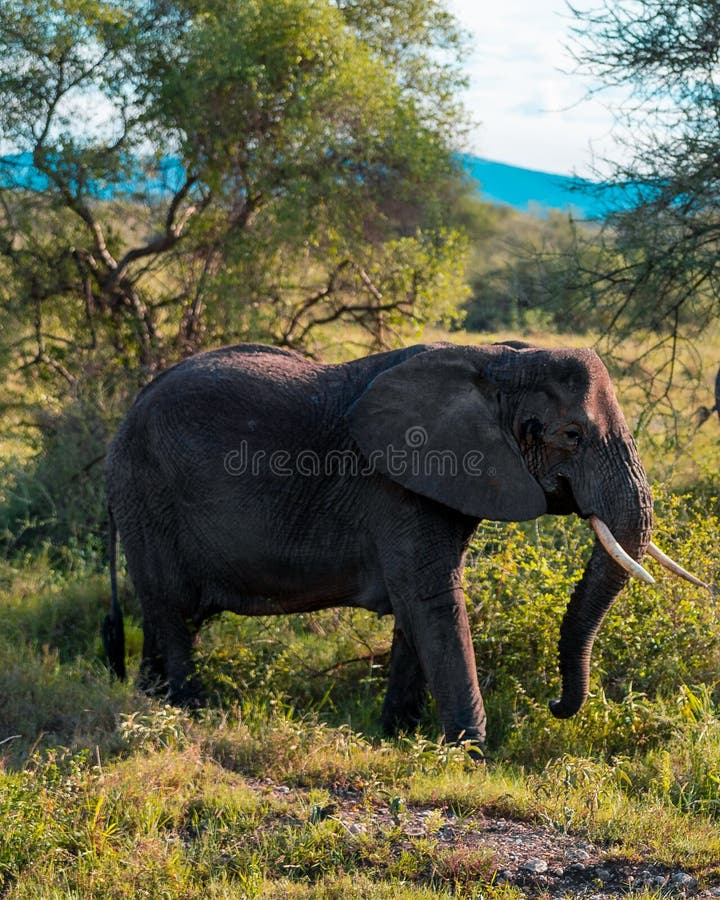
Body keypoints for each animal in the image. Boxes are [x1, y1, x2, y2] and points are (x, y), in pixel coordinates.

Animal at [103, 340, 703, 748]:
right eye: (571, 436)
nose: (556, 705)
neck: (501, 362)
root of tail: (125, 416)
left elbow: (417, 608)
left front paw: (398, 736)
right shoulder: (397, 485)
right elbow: (433, 598)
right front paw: (471, 752)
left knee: (159, 609)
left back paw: (148, 697)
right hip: (148, 491)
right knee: (173, 608)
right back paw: (190, 709)